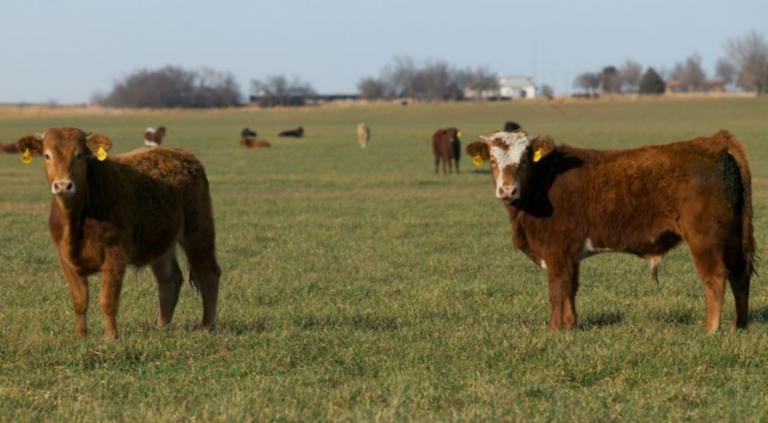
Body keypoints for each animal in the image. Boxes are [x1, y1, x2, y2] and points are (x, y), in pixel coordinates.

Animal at [17, 128, 221, 338]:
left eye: (79, 155)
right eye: (47, 155)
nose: (64, 185)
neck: (76, 221)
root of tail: (185, 156)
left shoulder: (115, 253)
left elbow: (108, 299)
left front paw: (110, 336)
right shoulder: (65, 257)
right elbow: (80, 300)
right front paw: (81, 336)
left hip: (198, 231)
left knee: (208, 274)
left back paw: (207, 326)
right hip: (161, 242)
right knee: (169, 280)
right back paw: (162, 327)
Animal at [465, 130, 755, 333]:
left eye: (524, 159)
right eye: (492, 160)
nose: (507, 190)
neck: (542, 183)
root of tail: (714, 141)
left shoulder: (556, 250)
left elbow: (557, 290)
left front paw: (554, 329)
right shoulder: (570, 253)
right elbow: (571, 288)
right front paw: (570, 326)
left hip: (704, 238)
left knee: (715, 278)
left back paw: (711, 329)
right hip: (731, 236)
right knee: (740, 276)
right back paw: (739, 326)